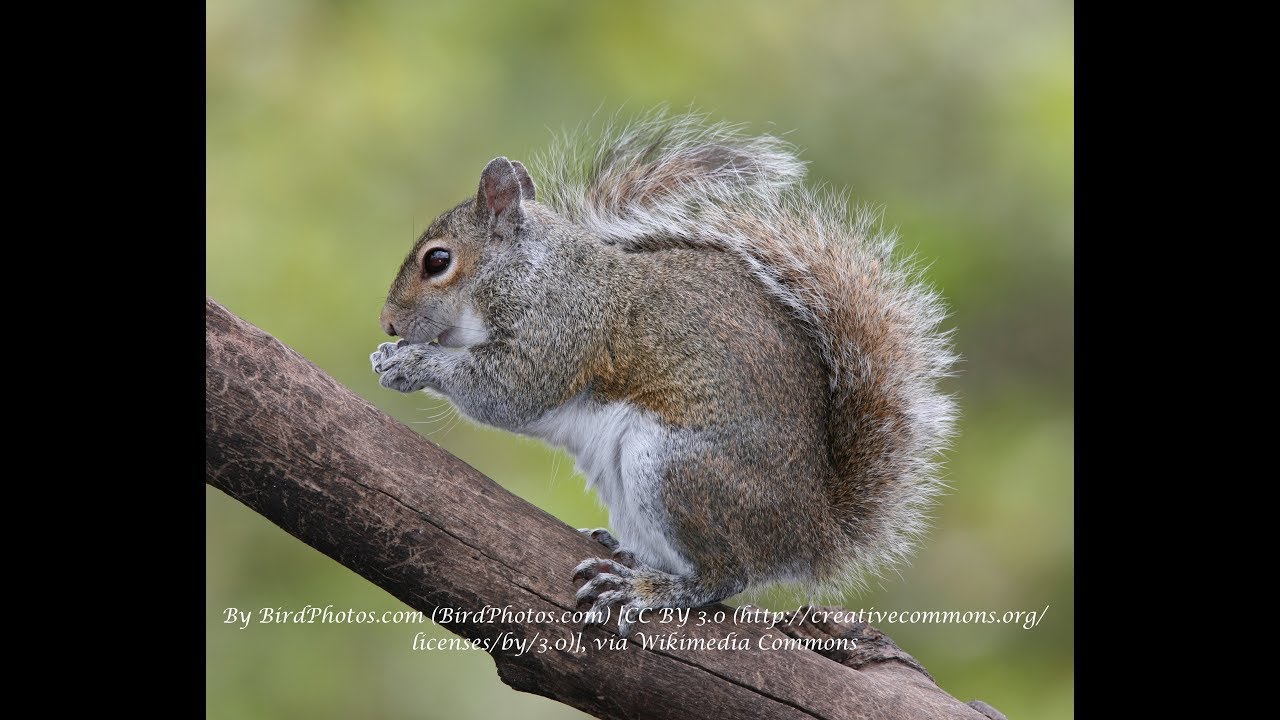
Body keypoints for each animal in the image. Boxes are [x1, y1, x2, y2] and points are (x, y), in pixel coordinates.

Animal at [371, 112, 956, 637]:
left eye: (437, 261)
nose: (388, 322)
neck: (530, 271)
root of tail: (813, 533)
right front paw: (389, 355)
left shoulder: (560, 330)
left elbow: (507, 391)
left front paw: (411, 362)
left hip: (674, 469)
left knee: (725, 576)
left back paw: (648, 588)